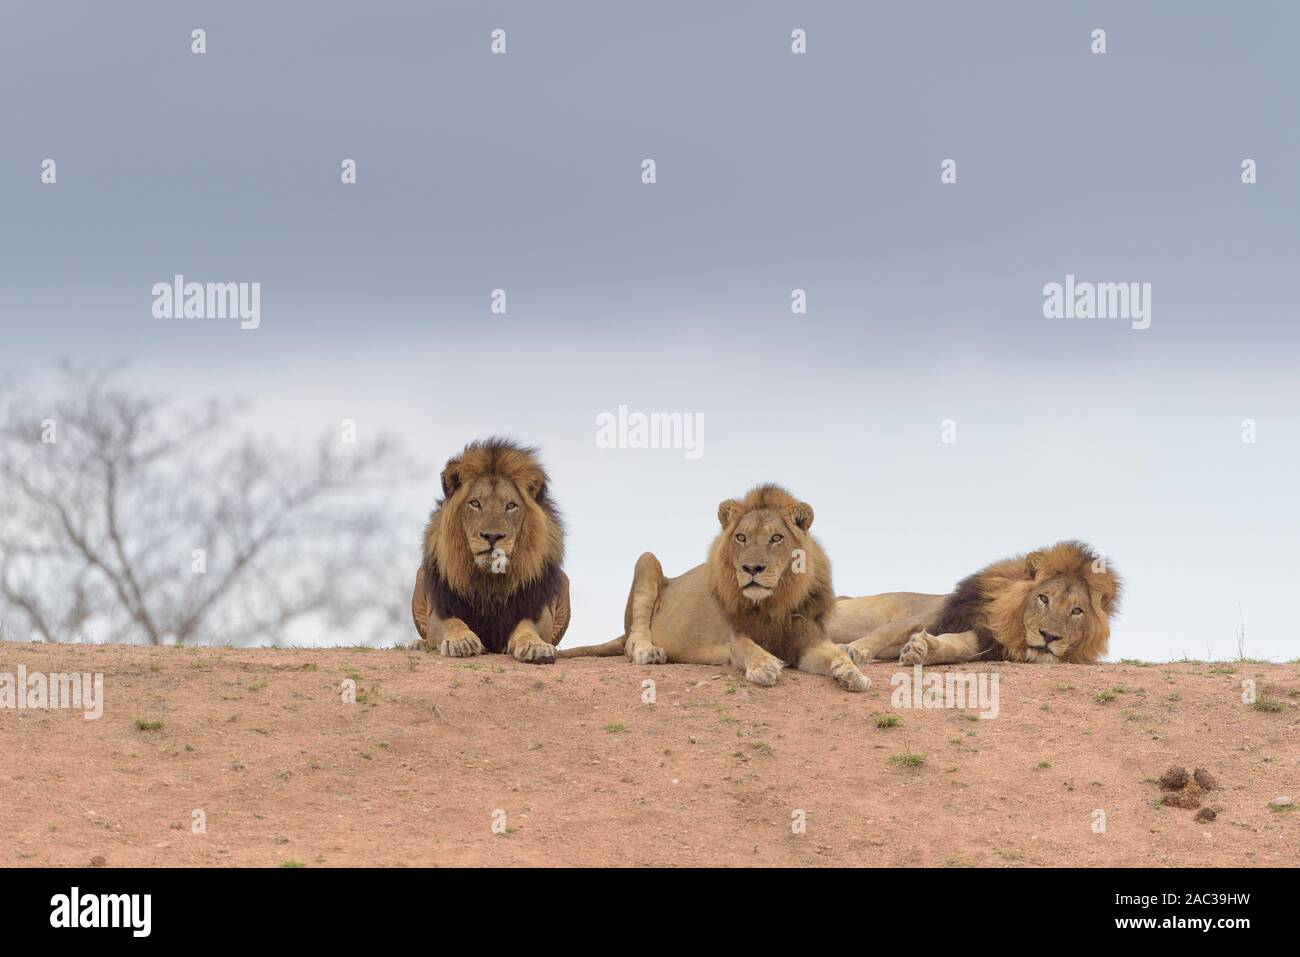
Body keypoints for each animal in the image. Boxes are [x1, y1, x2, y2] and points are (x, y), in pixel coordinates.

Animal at [410, 438, 570, 663]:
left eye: (510, 506)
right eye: (475, 503)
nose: (492, 536)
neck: (489, 578)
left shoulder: (535, 609)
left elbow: (527, 627)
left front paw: (534, 645)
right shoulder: (441, 610)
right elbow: (453, 623)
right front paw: (462, 641)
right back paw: (418, 644)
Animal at [557, 484, 870, 691]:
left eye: (776, 538)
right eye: (741, 537)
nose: (752, 569)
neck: (774, 602)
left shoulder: (807, 638)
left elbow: (836, 653)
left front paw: (852, 672)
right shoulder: (736, 637)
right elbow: (749, 648)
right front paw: (765, 666)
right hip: (647, 561)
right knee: (633, 639)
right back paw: (649, 651)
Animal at [826, 540, 1119, 665]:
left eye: (1077, 611)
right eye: (1043, 598)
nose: (1049, 636)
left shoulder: (985, 638)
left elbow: (955, 648)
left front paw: (924, 650)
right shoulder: (929, 615)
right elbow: (885, 632)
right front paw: (854, 651)